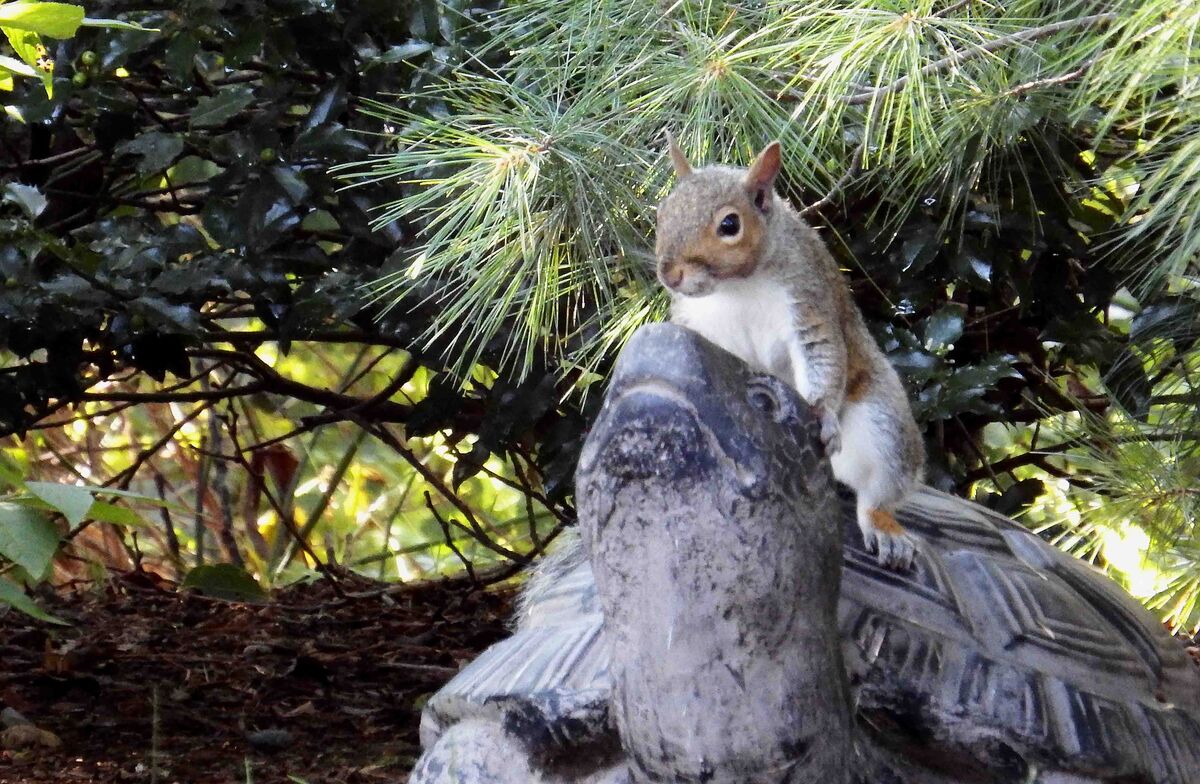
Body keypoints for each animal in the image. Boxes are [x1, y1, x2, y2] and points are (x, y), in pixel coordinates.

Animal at [654, 136, 925, 570]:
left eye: (729, 225)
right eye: (662, 214)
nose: (670, 274)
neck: (736, 287)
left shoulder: (808, 301)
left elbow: (821, 354)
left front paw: (823, 413)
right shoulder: (699, 322)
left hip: (884, 425)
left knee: (878, 493)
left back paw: (884, 527)